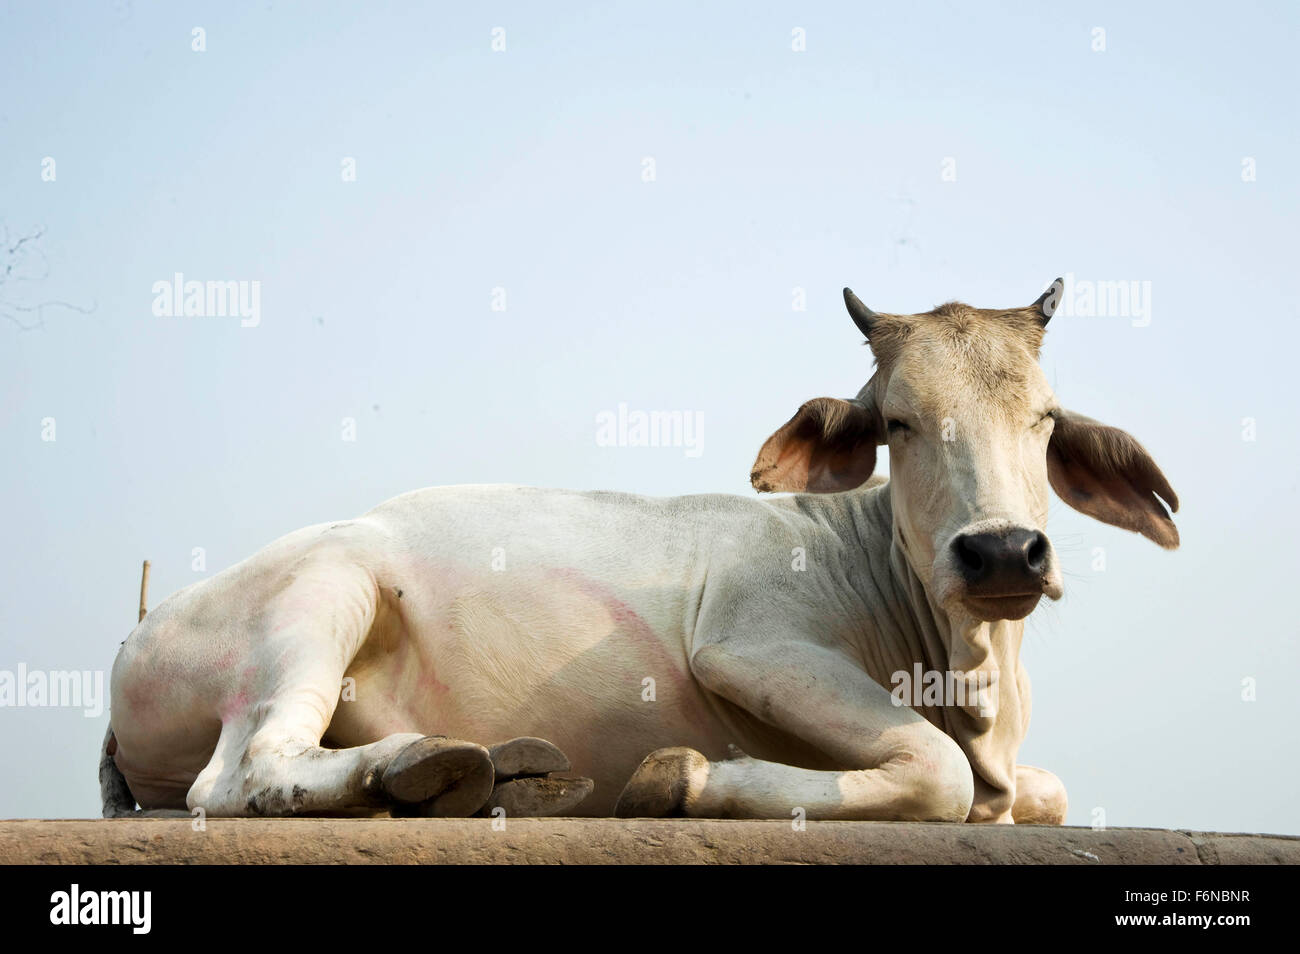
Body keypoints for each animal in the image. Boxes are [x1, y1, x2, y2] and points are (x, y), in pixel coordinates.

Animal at [100, 280, 1179, 824]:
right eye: (900, 423)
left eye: (1044, 421)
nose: (1001, 554)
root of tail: (137, 638)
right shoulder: (749, 644)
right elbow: (940, 777)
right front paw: (689, 781)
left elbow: (1037, 794)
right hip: (325, 593)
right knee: (242, 773)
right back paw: (415, 766)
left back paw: (499, 773)